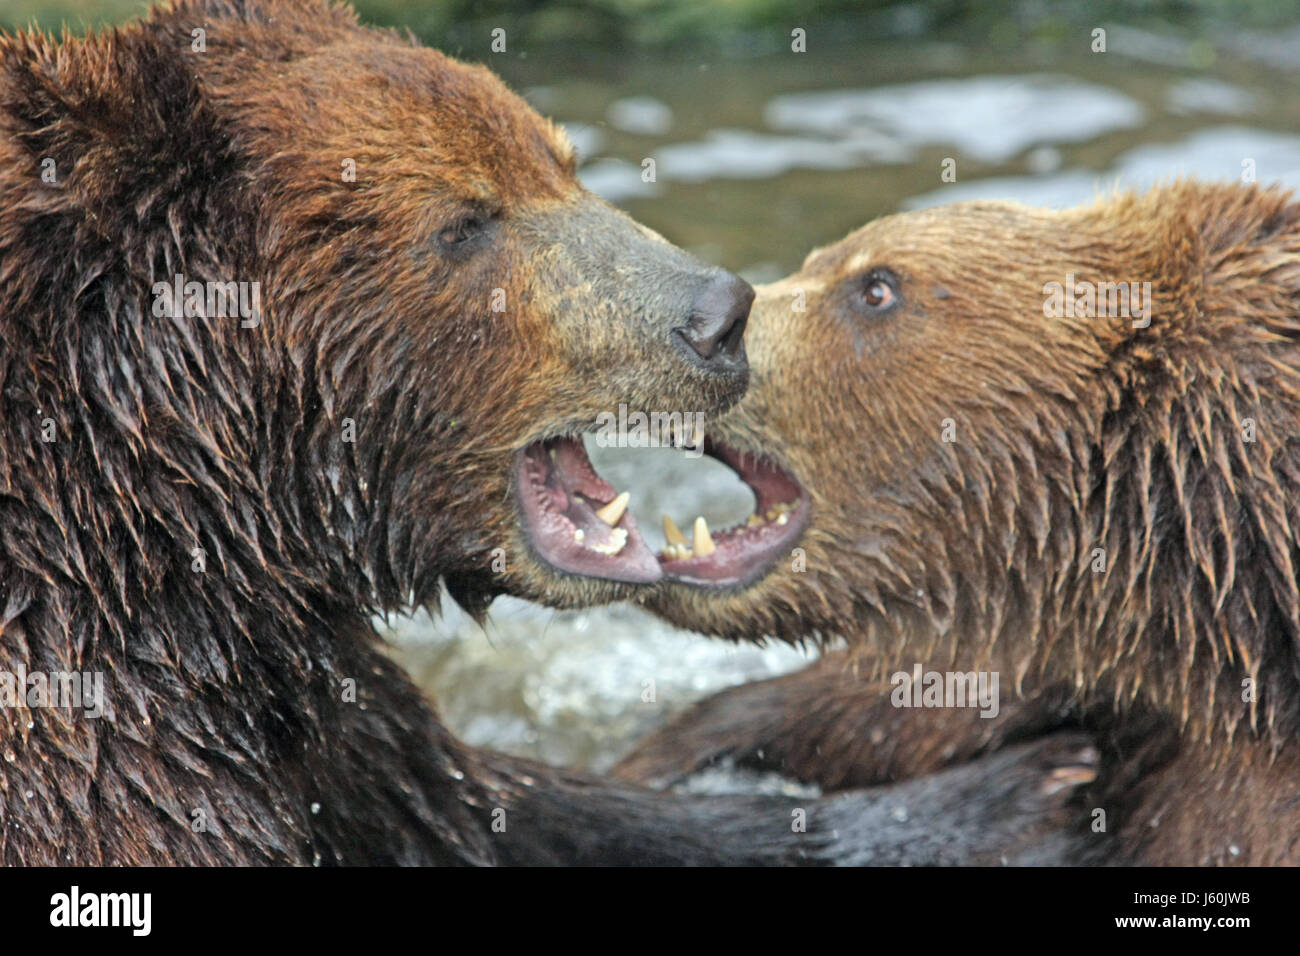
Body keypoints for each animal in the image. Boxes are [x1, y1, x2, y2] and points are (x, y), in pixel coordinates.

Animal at [0, 0, 1096, 865]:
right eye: (460, 223)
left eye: (560, 161)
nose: (719, 313)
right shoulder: (97, 735)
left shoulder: (328, 718)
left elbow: (506, 806)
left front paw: (1022, 785)